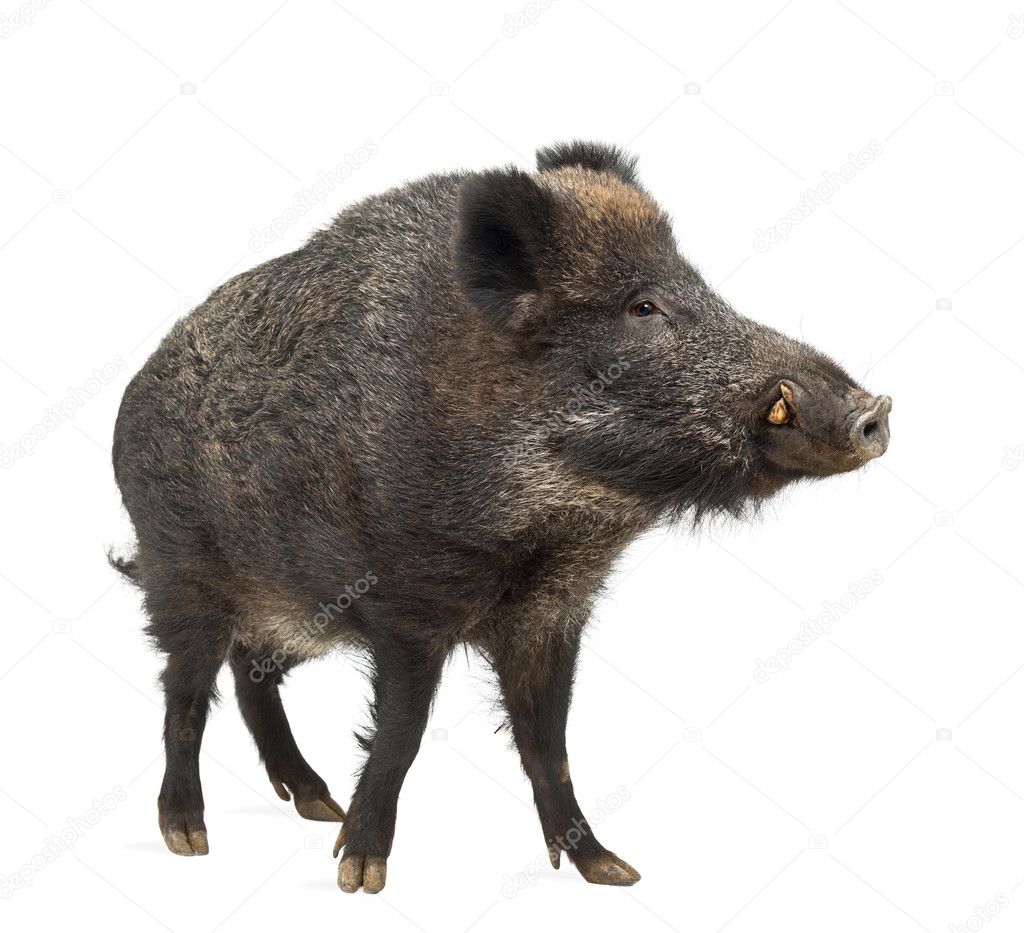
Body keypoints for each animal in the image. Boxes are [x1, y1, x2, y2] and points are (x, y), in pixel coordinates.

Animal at [110, 140, 892, 894]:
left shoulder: (553, 612)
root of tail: (130, 400)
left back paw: (315, 802)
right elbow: (401, 734)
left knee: (251, 671)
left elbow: (550, 742)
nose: (875, 409)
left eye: (701, 283)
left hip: (296, 611)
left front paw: (612, 872)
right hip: (184, 575)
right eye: (643, 307)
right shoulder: (407, 605)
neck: (552, 529)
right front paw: (359, 878)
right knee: (186, 689)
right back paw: (189, 838)